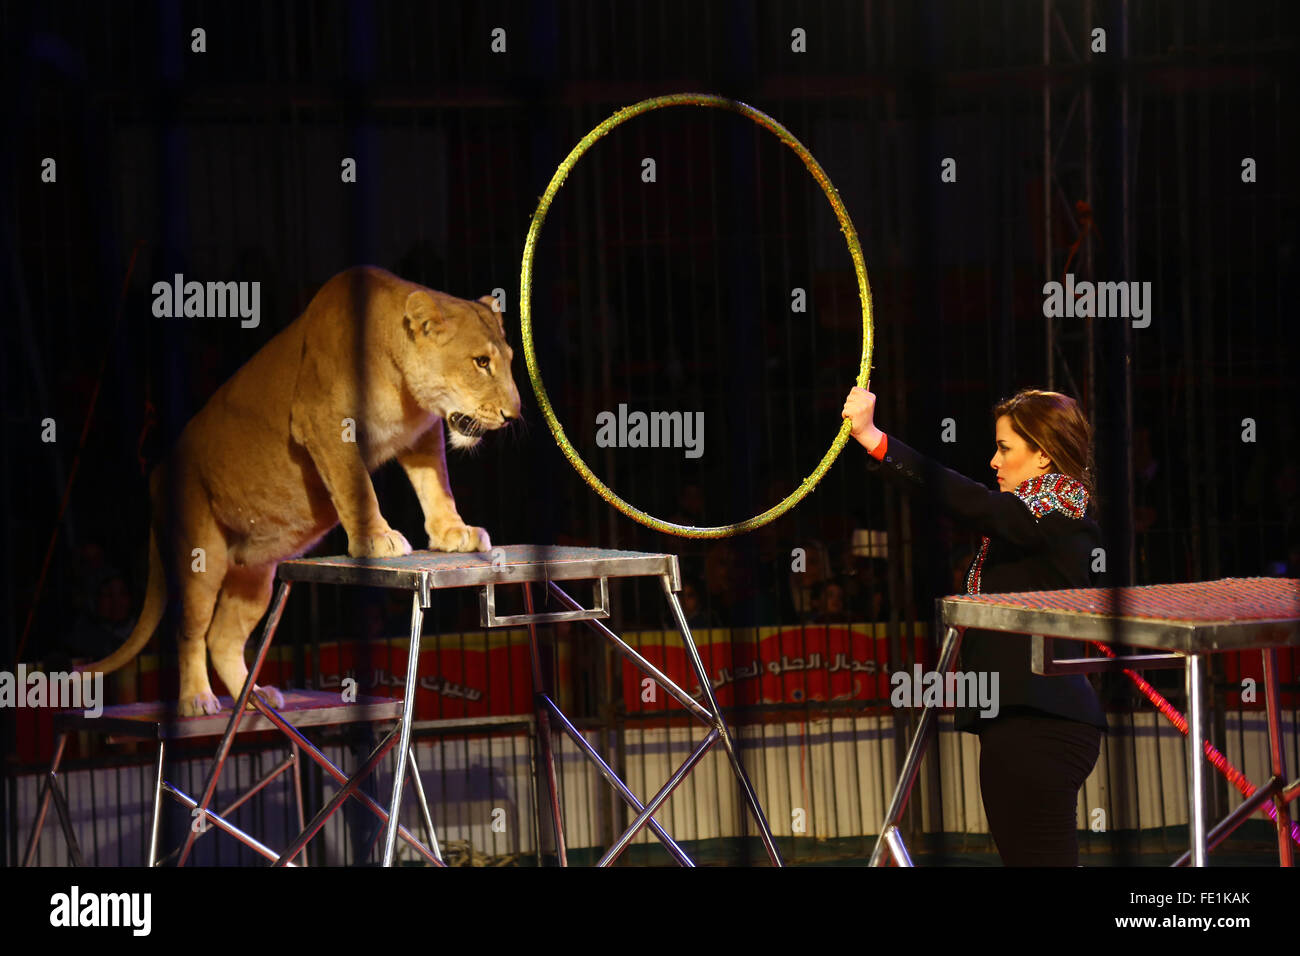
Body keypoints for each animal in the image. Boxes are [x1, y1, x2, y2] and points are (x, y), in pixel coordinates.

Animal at [81, 266, 522, 716]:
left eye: (507, 361)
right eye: (481, 362)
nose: (513, 415)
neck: (403, 385)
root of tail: (156, 473)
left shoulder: (421, 433)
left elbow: (436, 486)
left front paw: (455, 533)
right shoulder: (324, 421)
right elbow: (357, 486)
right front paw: (376, 539)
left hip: (255, 576)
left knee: (223, 637)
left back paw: (255, 698)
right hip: (201, 558)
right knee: (189, 629)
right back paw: (198, 699)